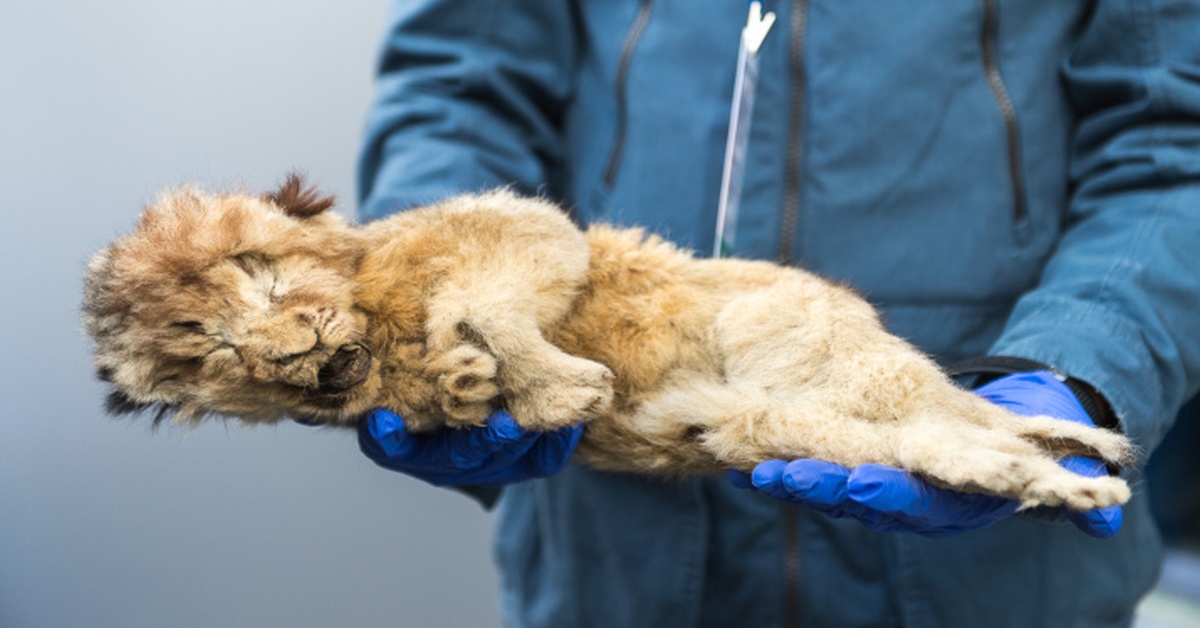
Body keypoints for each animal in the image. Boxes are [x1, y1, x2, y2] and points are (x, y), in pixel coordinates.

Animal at [83, 174, 1134, 511]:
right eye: (207, 349)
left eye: (257, 267)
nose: (291, 351)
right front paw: (468, 386)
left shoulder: (533, 233)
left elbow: (489, 296)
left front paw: (540, 386)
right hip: (785, 421)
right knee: (944, 439)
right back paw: (1061, 478)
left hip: (829, 361)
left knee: (953, 416)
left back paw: (1083, 452)